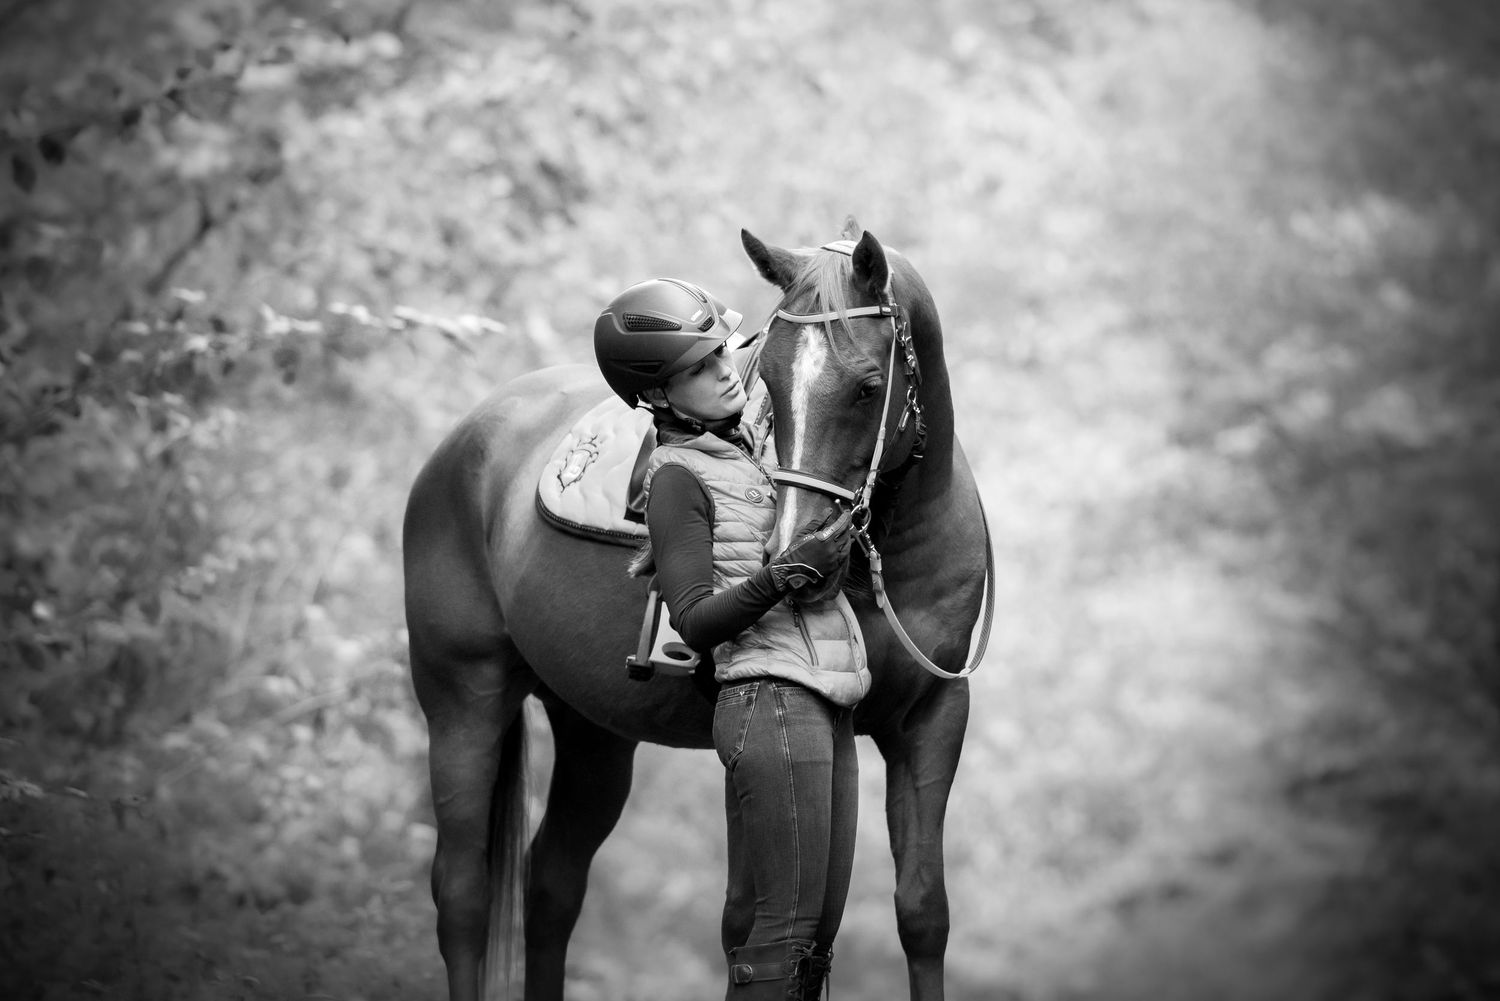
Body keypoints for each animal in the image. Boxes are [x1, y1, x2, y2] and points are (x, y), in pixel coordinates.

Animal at [402, 224, 992, 1001]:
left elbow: (920, 913)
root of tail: (467, 439)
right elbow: (752, 923)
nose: (795, 550)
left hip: (592, 732)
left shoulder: (931, 718)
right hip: (464, 698)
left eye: (869, 387)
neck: (894, 556)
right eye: (770, 379)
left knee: (551, 884)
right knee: (463, 893)